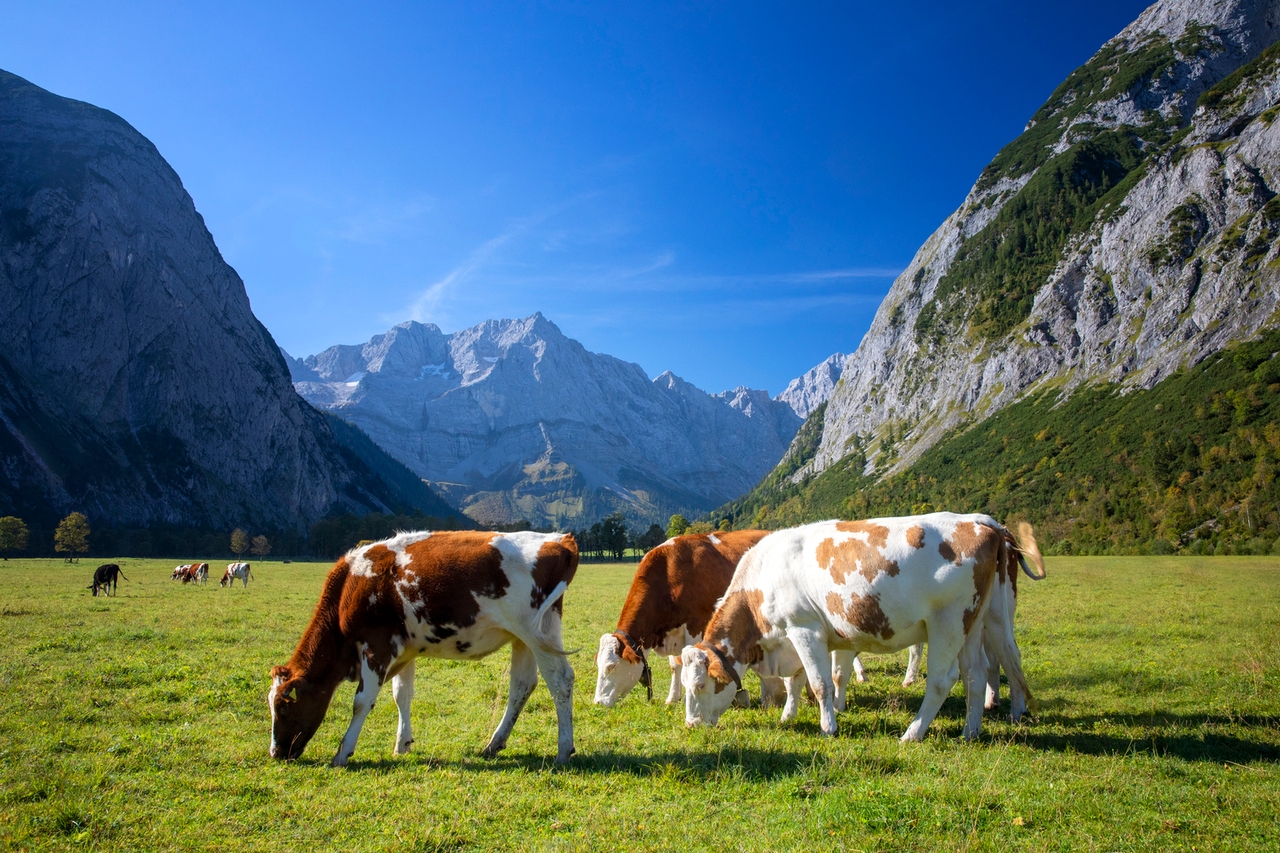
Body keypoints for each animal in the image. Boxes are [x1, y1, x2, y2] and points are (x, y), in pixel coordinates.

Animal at [268, 530, 579, 766]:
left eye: (283, 706)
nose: (275, 753)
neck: (352, 586)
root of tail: (558, 539)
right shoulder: (405, 648)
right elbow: (401, 695)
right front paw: (401, 744)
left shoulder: (376, 645)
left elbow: (362, 701)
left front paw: (343, 753)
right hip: (524, 637)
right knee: (522, 685)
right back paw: (494, 744)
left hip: (535, 632)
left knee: (560, 680)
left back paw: (563, 750)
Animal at [680, 513, 1044, 742]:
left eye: (699, 685)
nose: (691, 724)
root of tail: (981, 523)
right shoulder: (797, 639)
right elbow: (796, 681)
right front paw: (788, 716)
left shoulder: (804, 630)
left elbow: (820, 684)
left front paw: (828, 727)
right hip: (978, 620)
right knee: (976, 674)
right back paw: (970, 732)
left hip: (949, 622)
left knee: (943, 680)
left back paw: (912, 733)